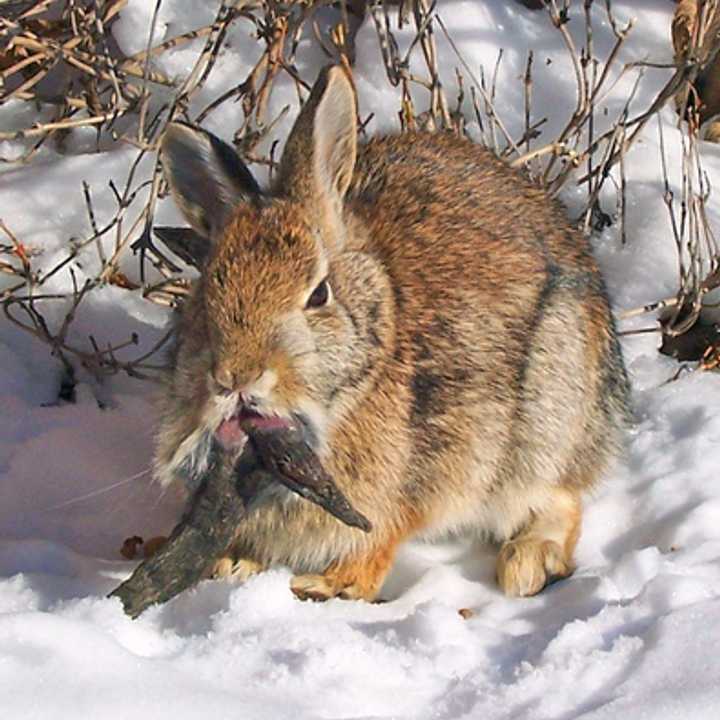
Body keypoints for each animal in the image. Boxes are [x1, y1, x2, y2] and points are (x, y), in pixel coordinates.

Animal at [153, 64, 630, 601]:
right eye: (205, 292)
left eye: (318, 295)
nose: (236, 377)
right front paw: (233, 563)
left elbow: (380, 538)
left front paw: (330, 586)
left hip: (548, 415)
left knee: (559, 497)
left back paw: (529, 563)